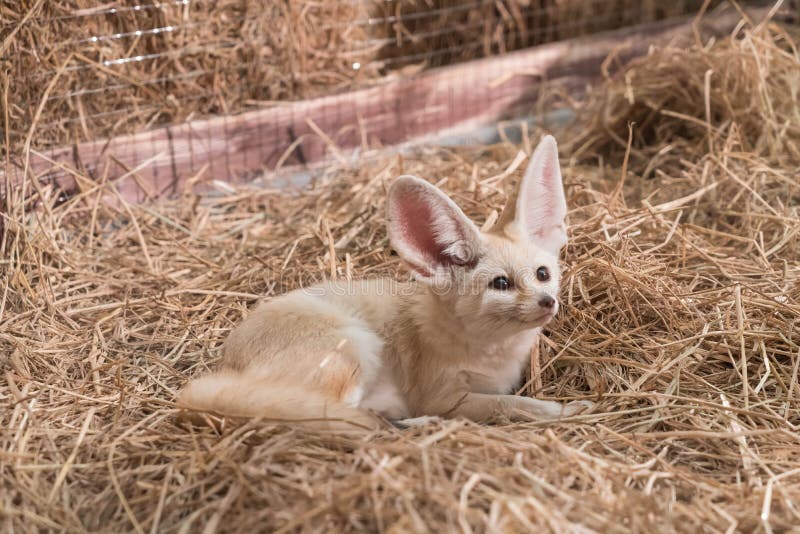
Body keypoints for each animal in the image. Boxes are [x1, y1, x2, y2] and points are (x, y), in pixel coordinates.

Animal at [178, 135, 595, 430]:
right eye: (501, 284)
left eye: (542, 274)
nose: (547, 302)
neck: (490, 349)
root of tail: (221, 368)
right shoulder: (445, 396)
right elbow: (514, 404)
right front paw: (565, 410)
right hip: (357, 347)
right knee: (339, 415)